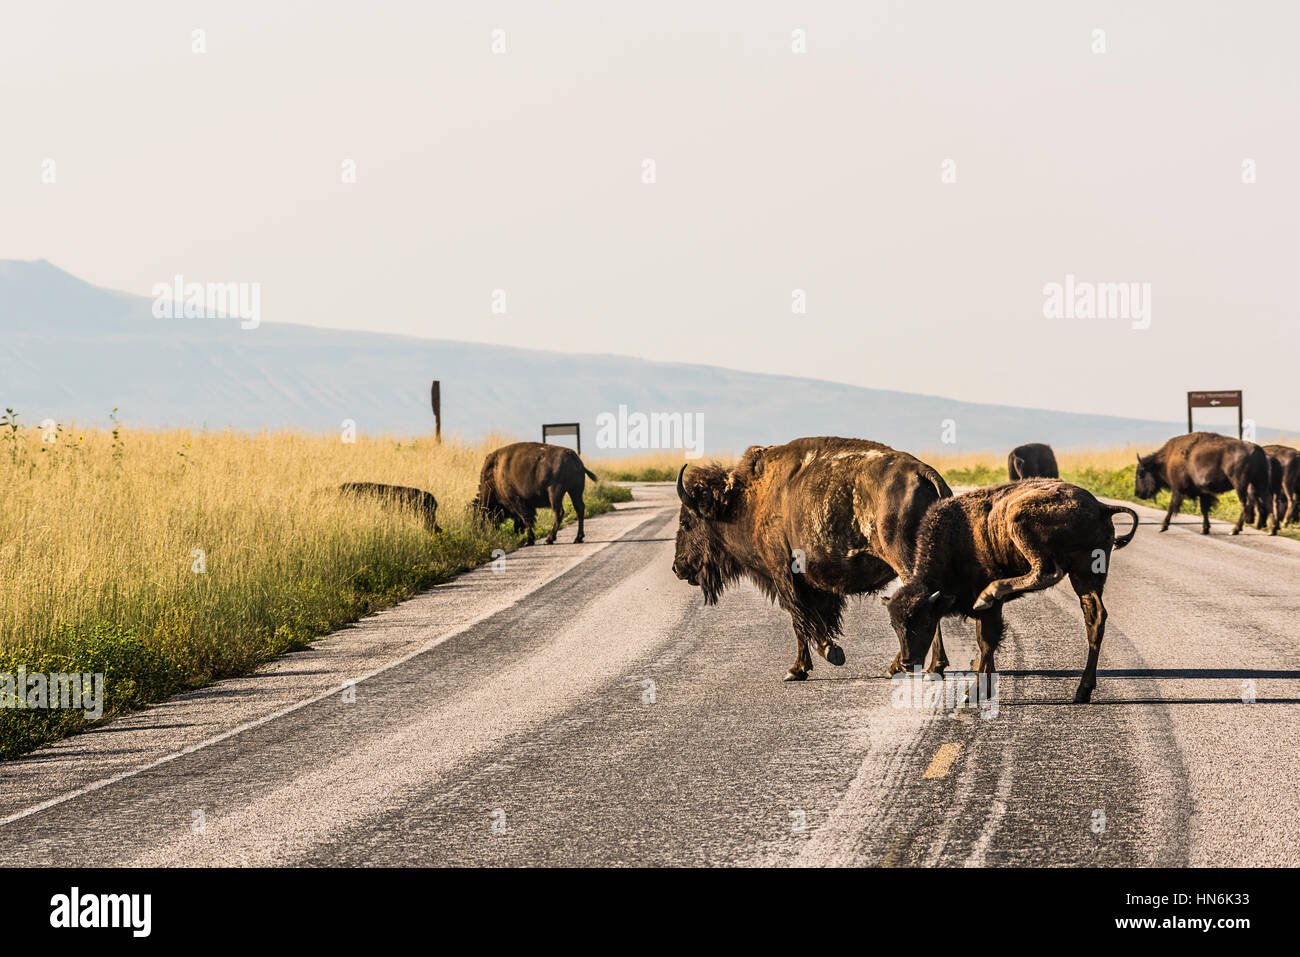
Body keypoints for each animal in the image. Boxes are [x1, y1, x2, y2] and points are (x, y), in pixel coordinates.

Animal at [672, 436, 953, 682]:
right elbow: (805, 620)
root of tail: (924, 472)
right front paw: (802, 667)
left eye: (686, 523)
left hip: (906, 562)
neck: (747, 500)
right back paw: (910, 667)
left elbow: (801, 619)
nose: (677, 567)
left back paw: (920, 667)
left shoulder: (784, 574)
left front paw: (816, 660)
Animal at [886, 480, 1138, 703]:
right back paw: (1083, 691)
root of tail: (1101, 506)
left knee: (1047, 571)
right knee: (1094, 617)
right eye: (894, 625)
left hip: (1019, 520)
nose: (908, 662)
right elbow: (985, 643)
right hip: (1086, 574)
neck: (955, 536)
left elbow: (986, 643)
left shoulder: (990, 612)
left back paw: (989, 593)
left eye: (926, 621)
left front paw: (973, 693)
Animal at [1134, 432, 1275, 536]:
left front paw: (1163, 526)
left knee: (1245, 504)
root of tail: (1257, 449)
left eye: (1141, 474)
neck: (1167, 459)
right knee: (1267, 501)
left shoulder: (1178, 489)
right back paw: (1271, 529)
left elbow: (1171, 507)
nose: (1137, 493)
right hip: (1260, 482)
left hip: (1240, 484)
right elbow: (1204, 510)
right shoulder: (1203, 492)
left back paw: (1235, 530)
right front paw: (1205, 529)